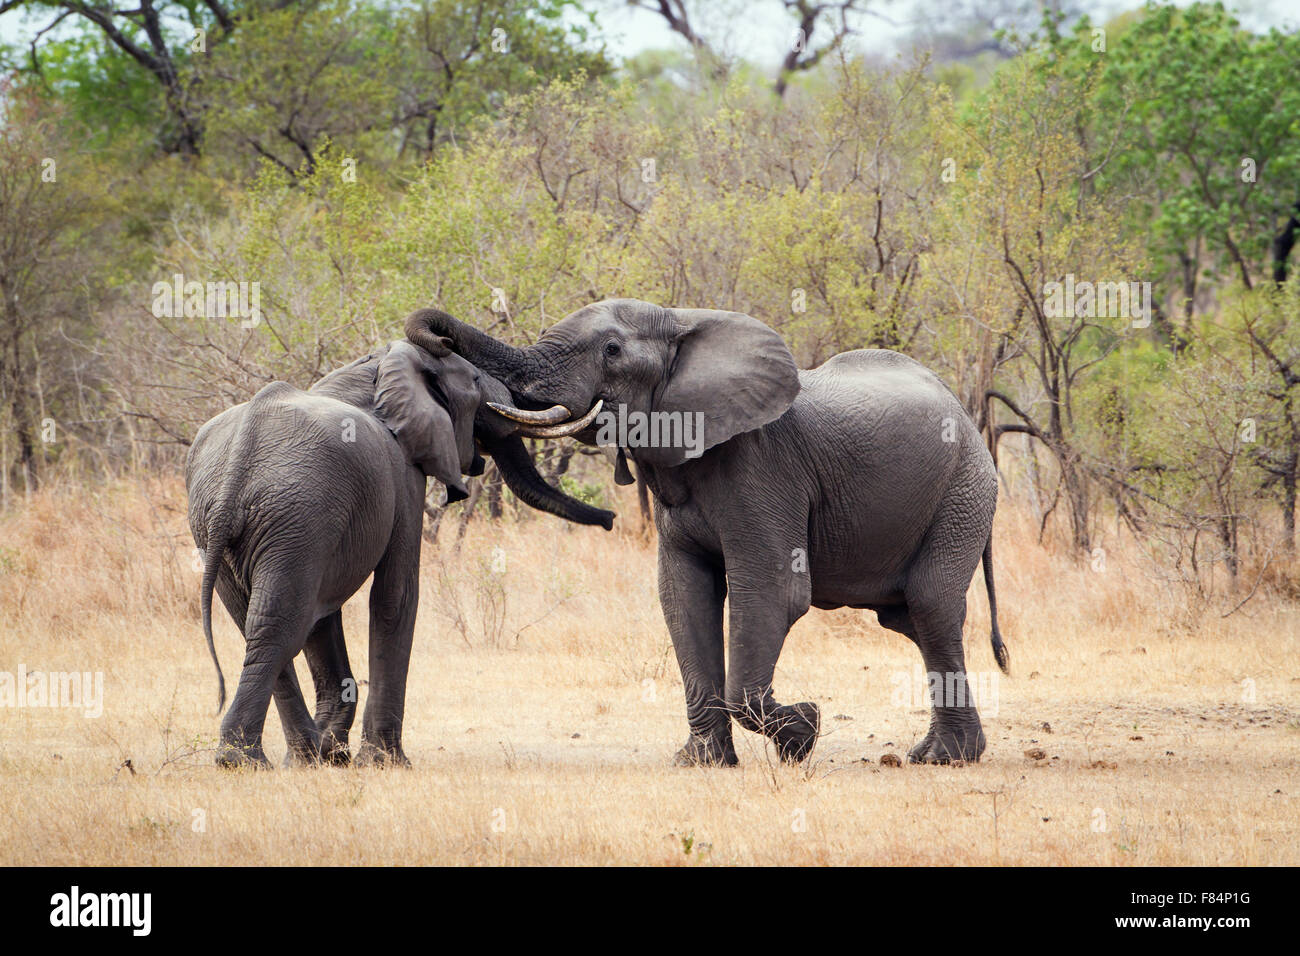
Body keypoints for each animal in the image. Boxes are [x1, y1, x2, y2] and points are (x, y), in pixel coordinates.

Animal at [186, 317, 612, 768]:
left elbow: (325, 615)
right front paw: (384, 762)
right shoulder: (403, 475)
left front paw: (337, 754)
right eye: (476, 381)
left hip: (229, 527)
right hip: (291, 514)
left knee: (260, 623)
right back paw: (252, 760)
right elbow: (396, 594)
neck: (377, 367)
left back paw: (294, 757)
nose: (610, 519)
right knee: (278, 626)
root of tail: (238, 463)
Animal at [405, 299, 1010, 765]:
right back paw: (942, 752)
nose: (439, 340)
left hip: (964, 492)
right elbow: (683, 595)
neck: (682, 321)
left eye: (612, 351)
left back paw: (945, 758)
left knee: (930, 604)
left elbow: (771, 593)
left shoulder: (763, 468)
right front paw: (702, 762)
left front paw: (804, 732)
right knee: (909, 618)